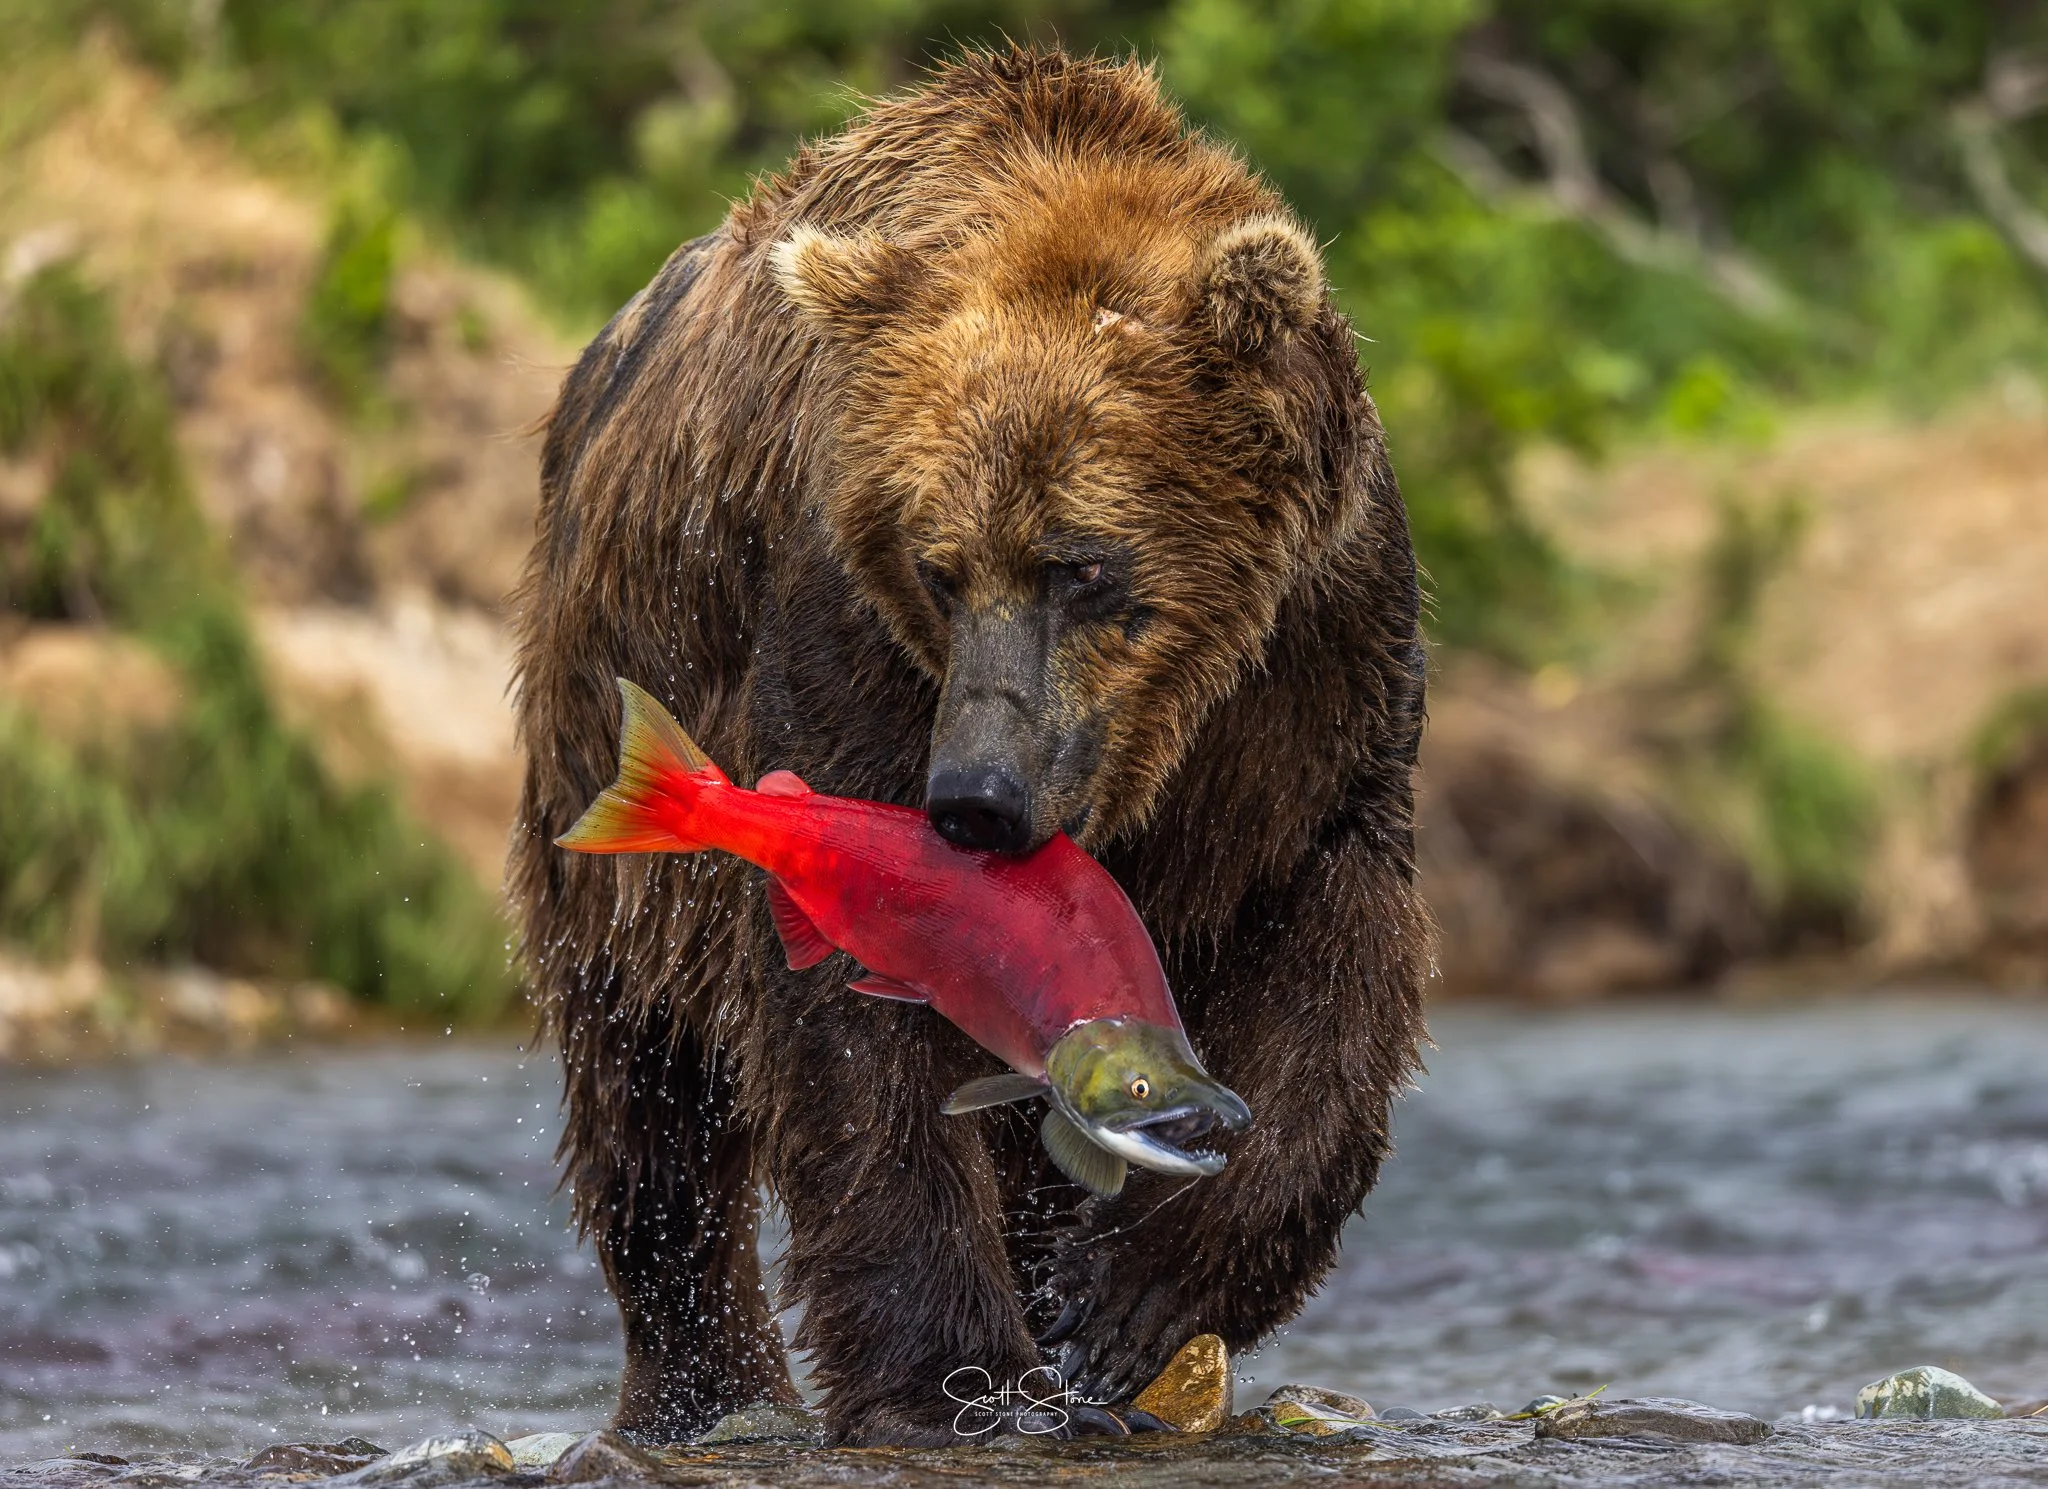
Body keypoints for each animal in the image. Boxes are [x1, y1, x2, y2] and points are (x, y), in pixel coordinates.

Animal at [507, 45, 1430, 1446]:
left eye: (1081, 566)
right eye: (939, 569)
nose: (975, 799)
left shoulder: (1313, 679)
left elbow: (1334, 967)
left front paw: (1120, 1301)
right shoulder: (844, 646)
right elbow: (852, 1036)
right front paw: (952, 1380)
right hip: (606, 718)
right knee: (644, 1078)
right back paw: (704, 1388)